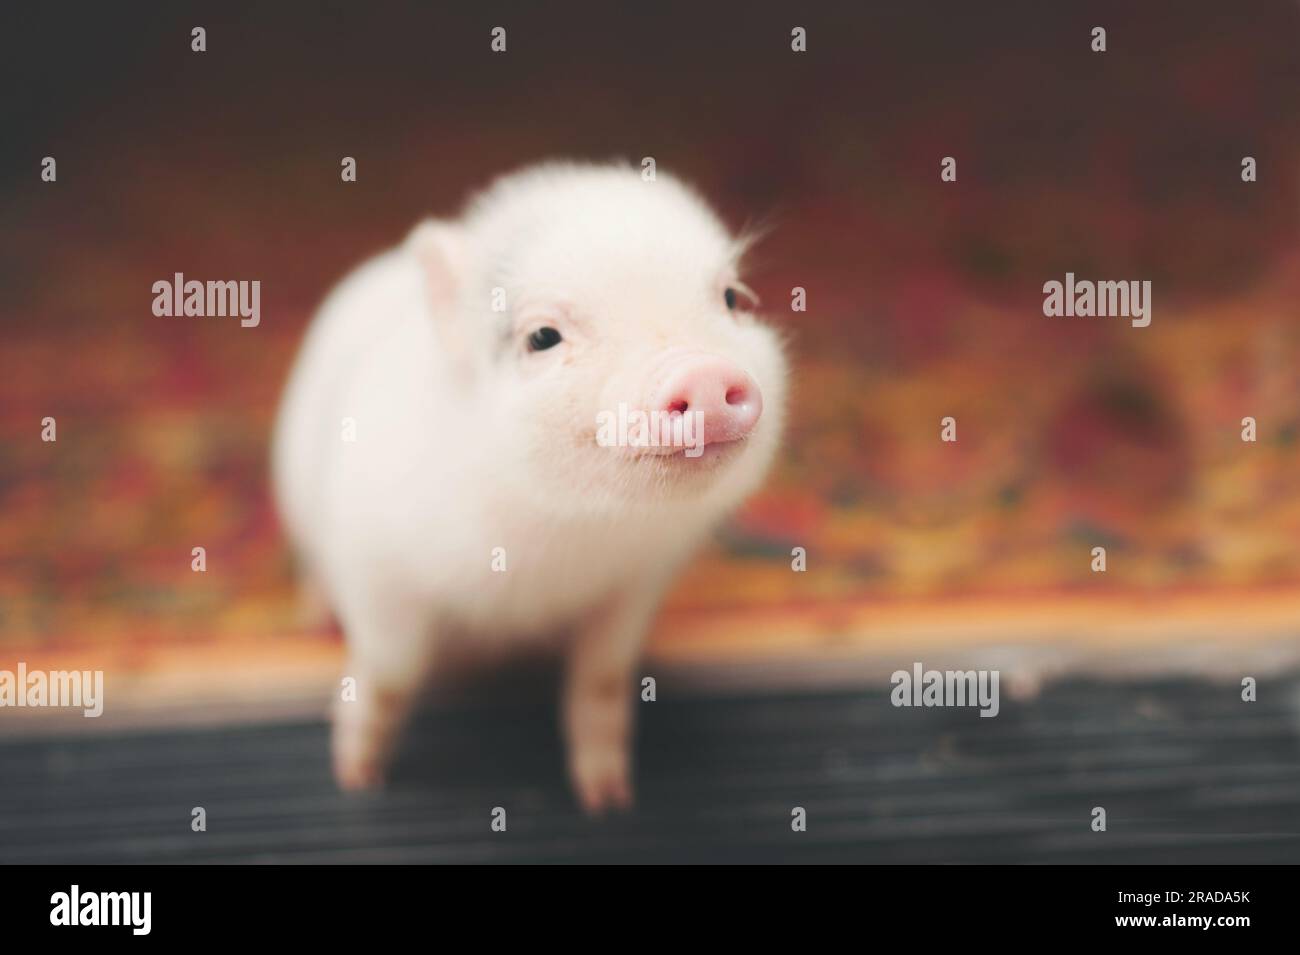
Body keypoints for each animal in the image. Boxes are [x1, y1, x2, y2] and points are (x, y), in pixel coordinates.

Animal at [271, 161, 789, 812]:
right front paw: (357, 780)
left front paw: (608, 800)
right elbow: (390, 674)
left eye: (731, 299)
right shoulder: (375, 563)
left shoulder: (638, 583)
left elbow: (601, 680)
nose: (702, 371)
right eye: (543, 336)